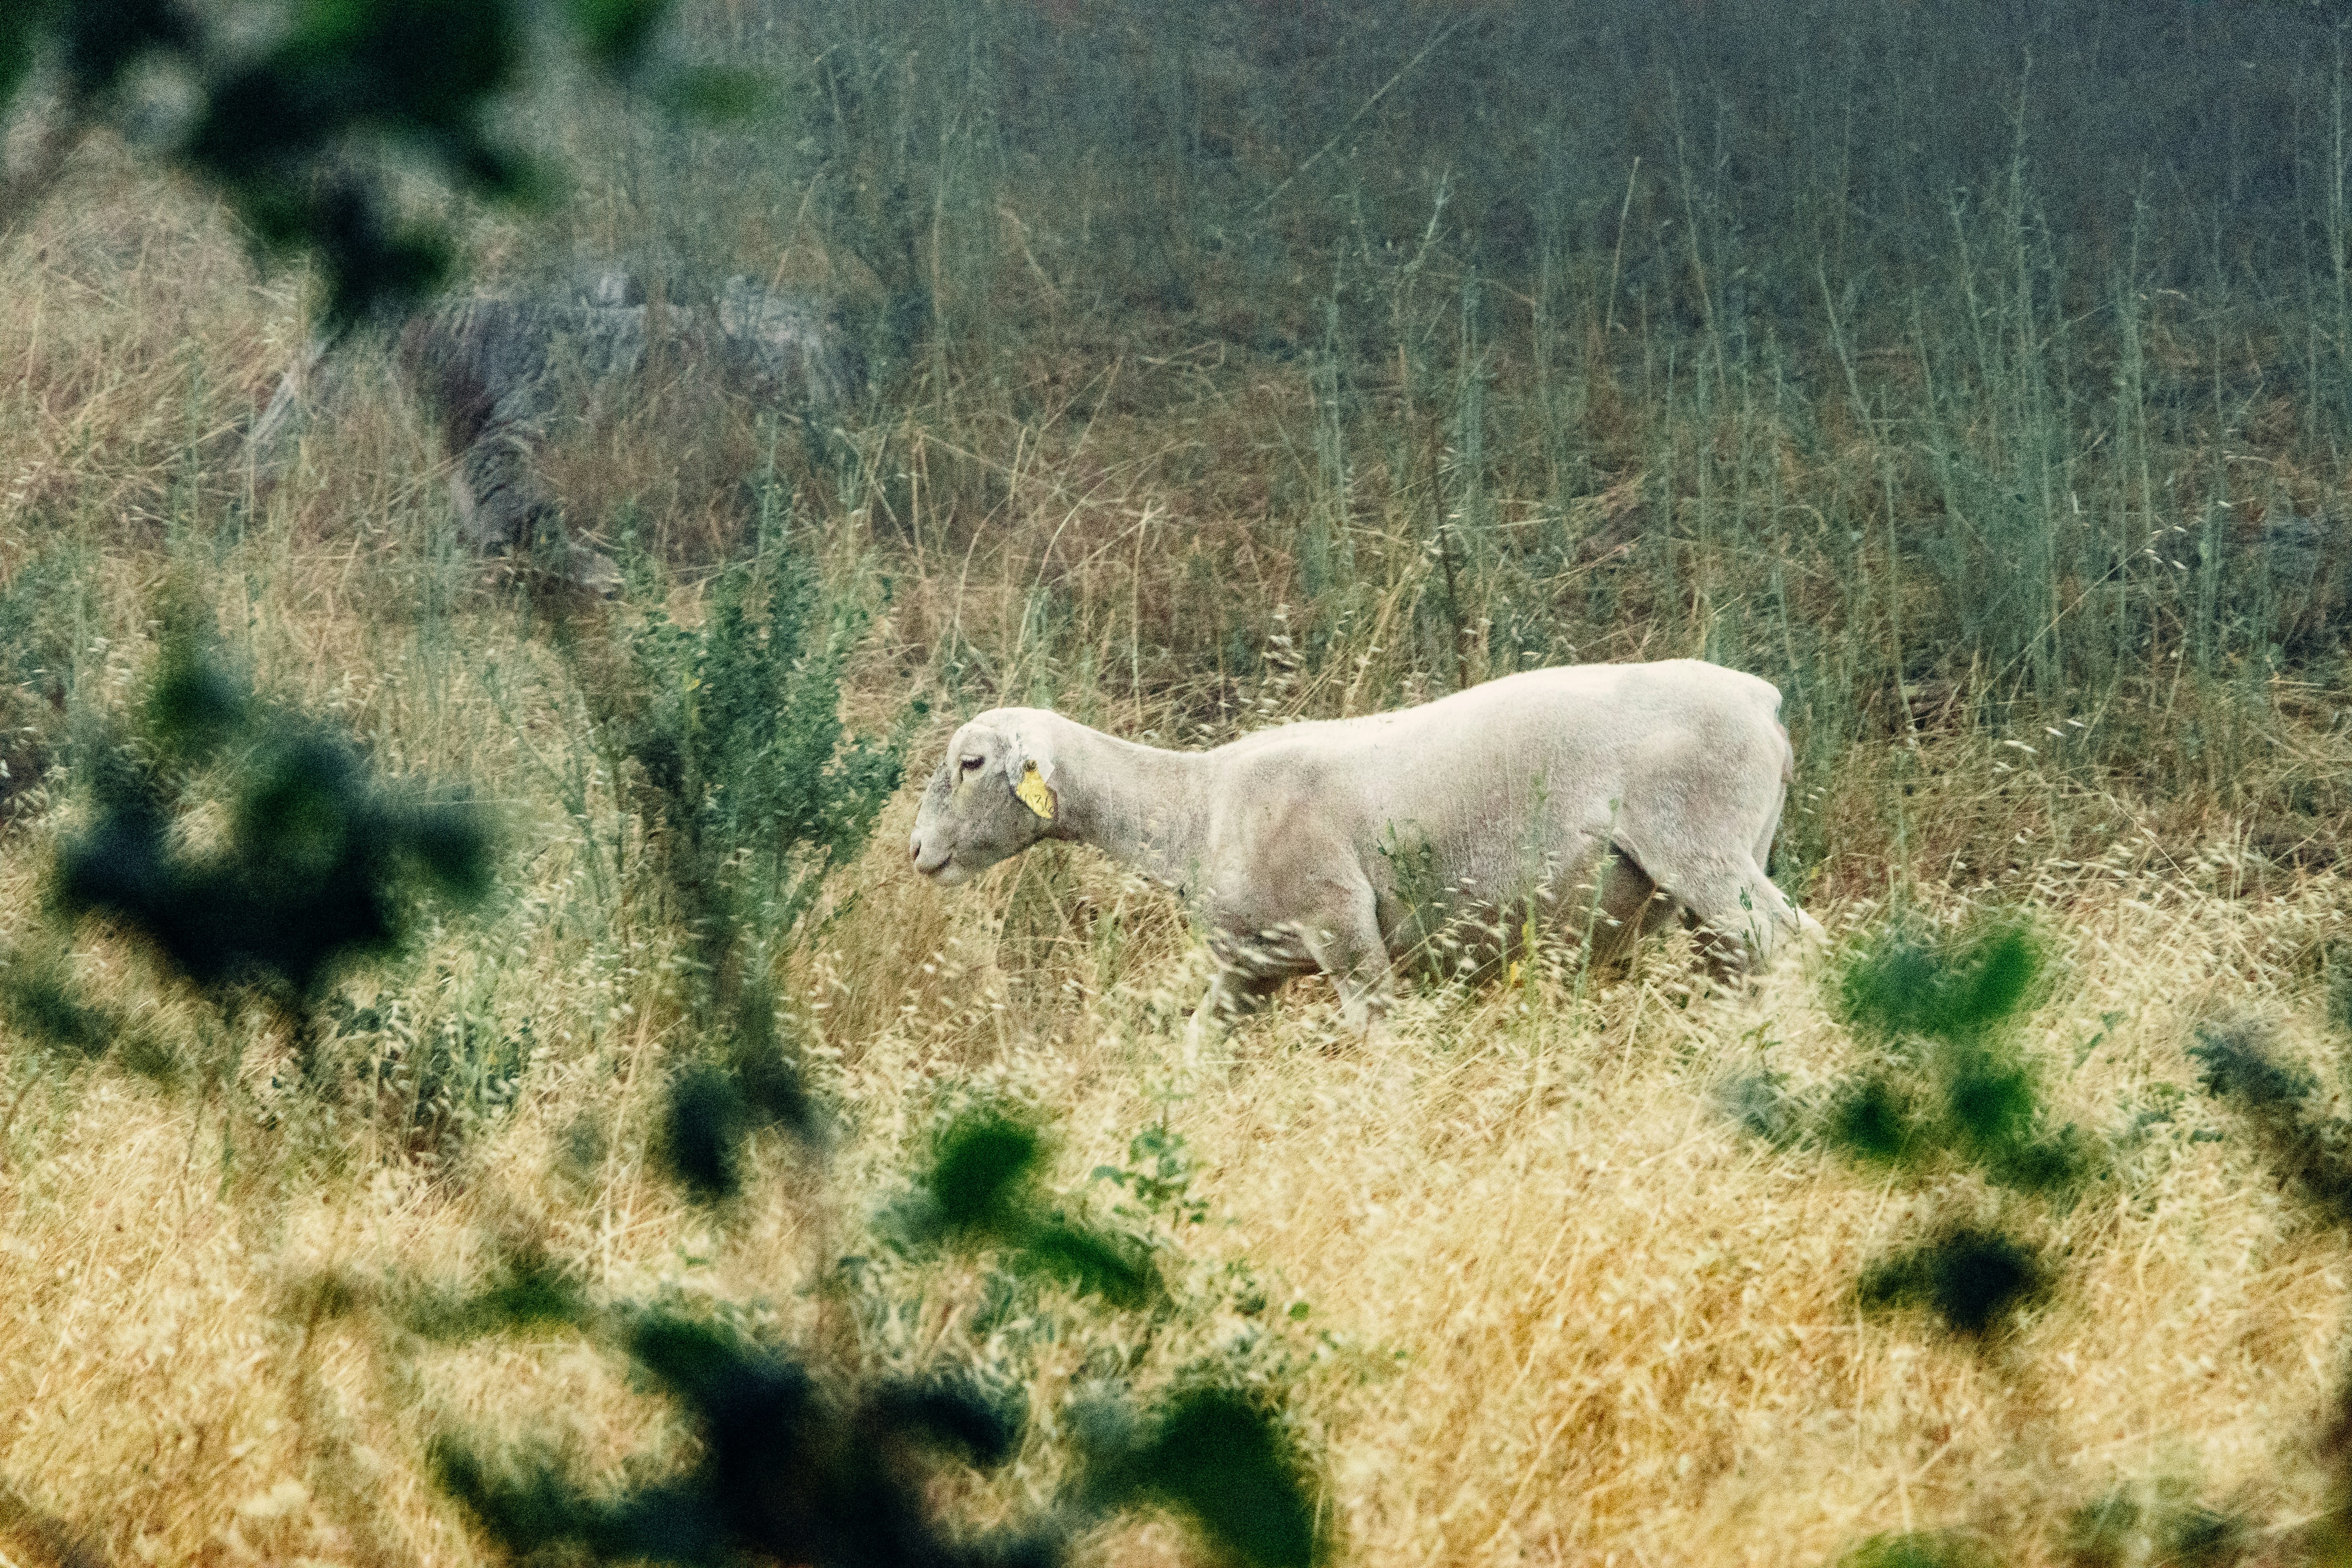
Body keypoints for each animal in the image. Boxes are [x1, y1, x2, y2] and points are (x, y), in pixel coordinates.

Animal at [907, 659, 1824, 1044]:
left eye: (971, 763)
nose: (918, 851)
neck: (1196, 806)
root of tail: (1765, 701)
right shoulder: (1250, 966)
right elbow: (1200, 1048)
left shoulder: (1342, 926)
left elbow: (1383, 1044)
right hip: (1718, 873)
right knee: (1747, 969)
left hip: (1703, 847)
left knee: (1796, 947)